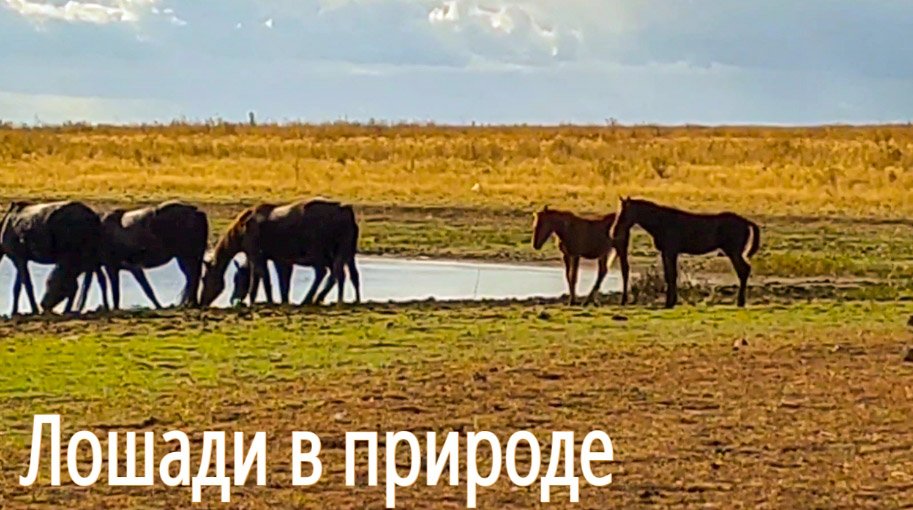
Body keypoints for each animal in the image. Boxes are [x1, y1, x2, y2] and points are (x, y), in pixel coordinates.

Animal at [199, 199, 360, 307]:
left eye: (204, 278)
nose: (202, 301)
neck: (240, 231)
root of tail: (345, 211)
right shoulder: (277, 259)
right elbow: (278, 281)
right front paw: (280, 300)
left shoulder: (255, 254)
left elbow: (260, 277)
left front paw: (259, 300)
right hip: (345, 252)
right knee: (348, 274)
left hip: (319, 253)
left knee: (327, 272)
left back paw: (313, 299)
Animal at [609, 197, 761, 309]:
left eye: (623, 214)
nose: (614, 231)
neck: (662, 221)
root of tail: (746, 221)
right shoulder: (669, 252)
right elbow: (670, 275)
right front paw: (671, 301)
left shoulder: (670, 251)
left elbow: (671, 276)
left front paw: (669, 303)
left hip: (733, 252)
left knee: (743, 271)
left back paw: (740, 302)